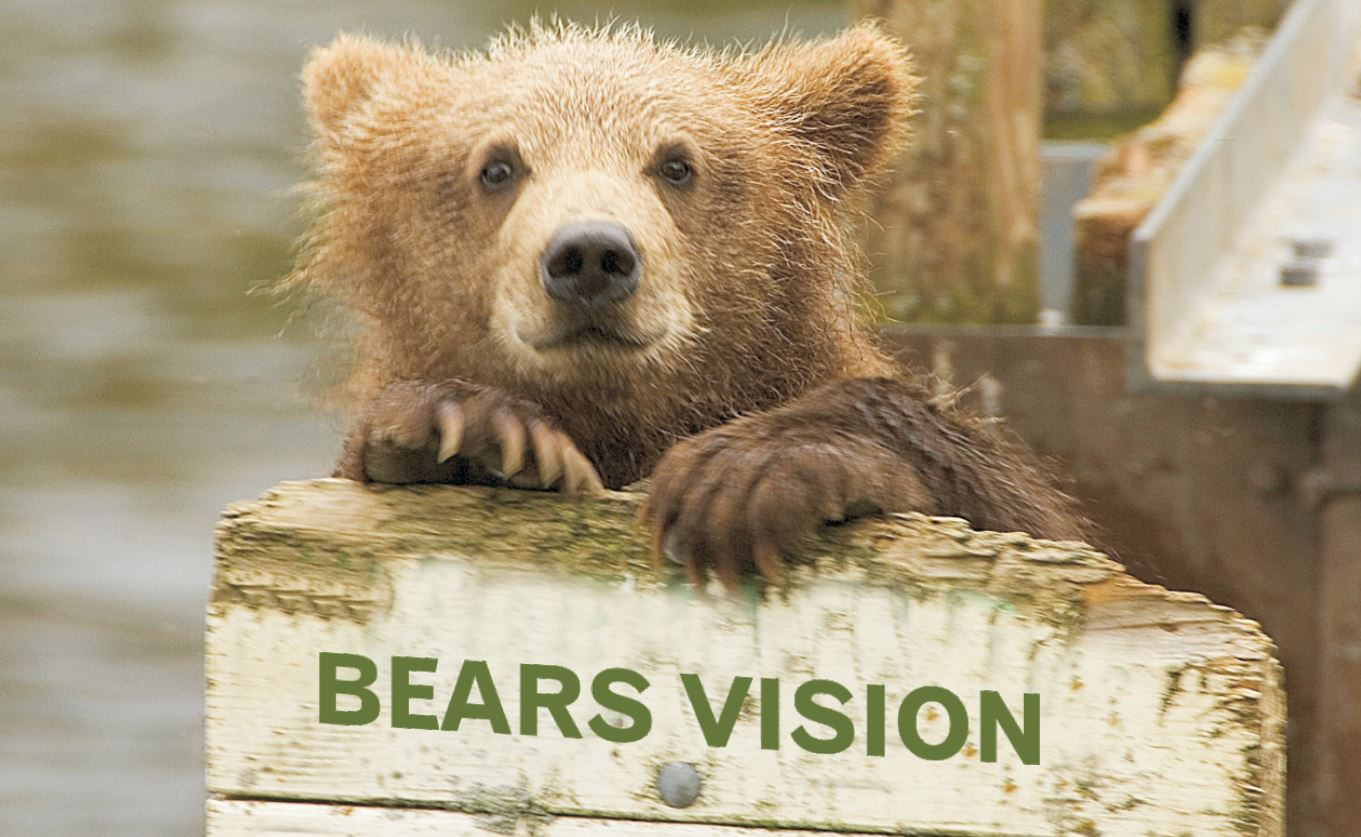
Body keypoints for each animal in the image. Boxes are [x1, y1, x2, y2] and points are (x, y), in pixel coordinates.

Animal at [289, 21, 1086, 589]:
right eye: (498, 165)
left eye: (676, 164)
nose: (590, 255)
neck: (629, 421)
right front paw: (464, 428)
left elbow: (1032, 518)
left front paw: (748, 472)